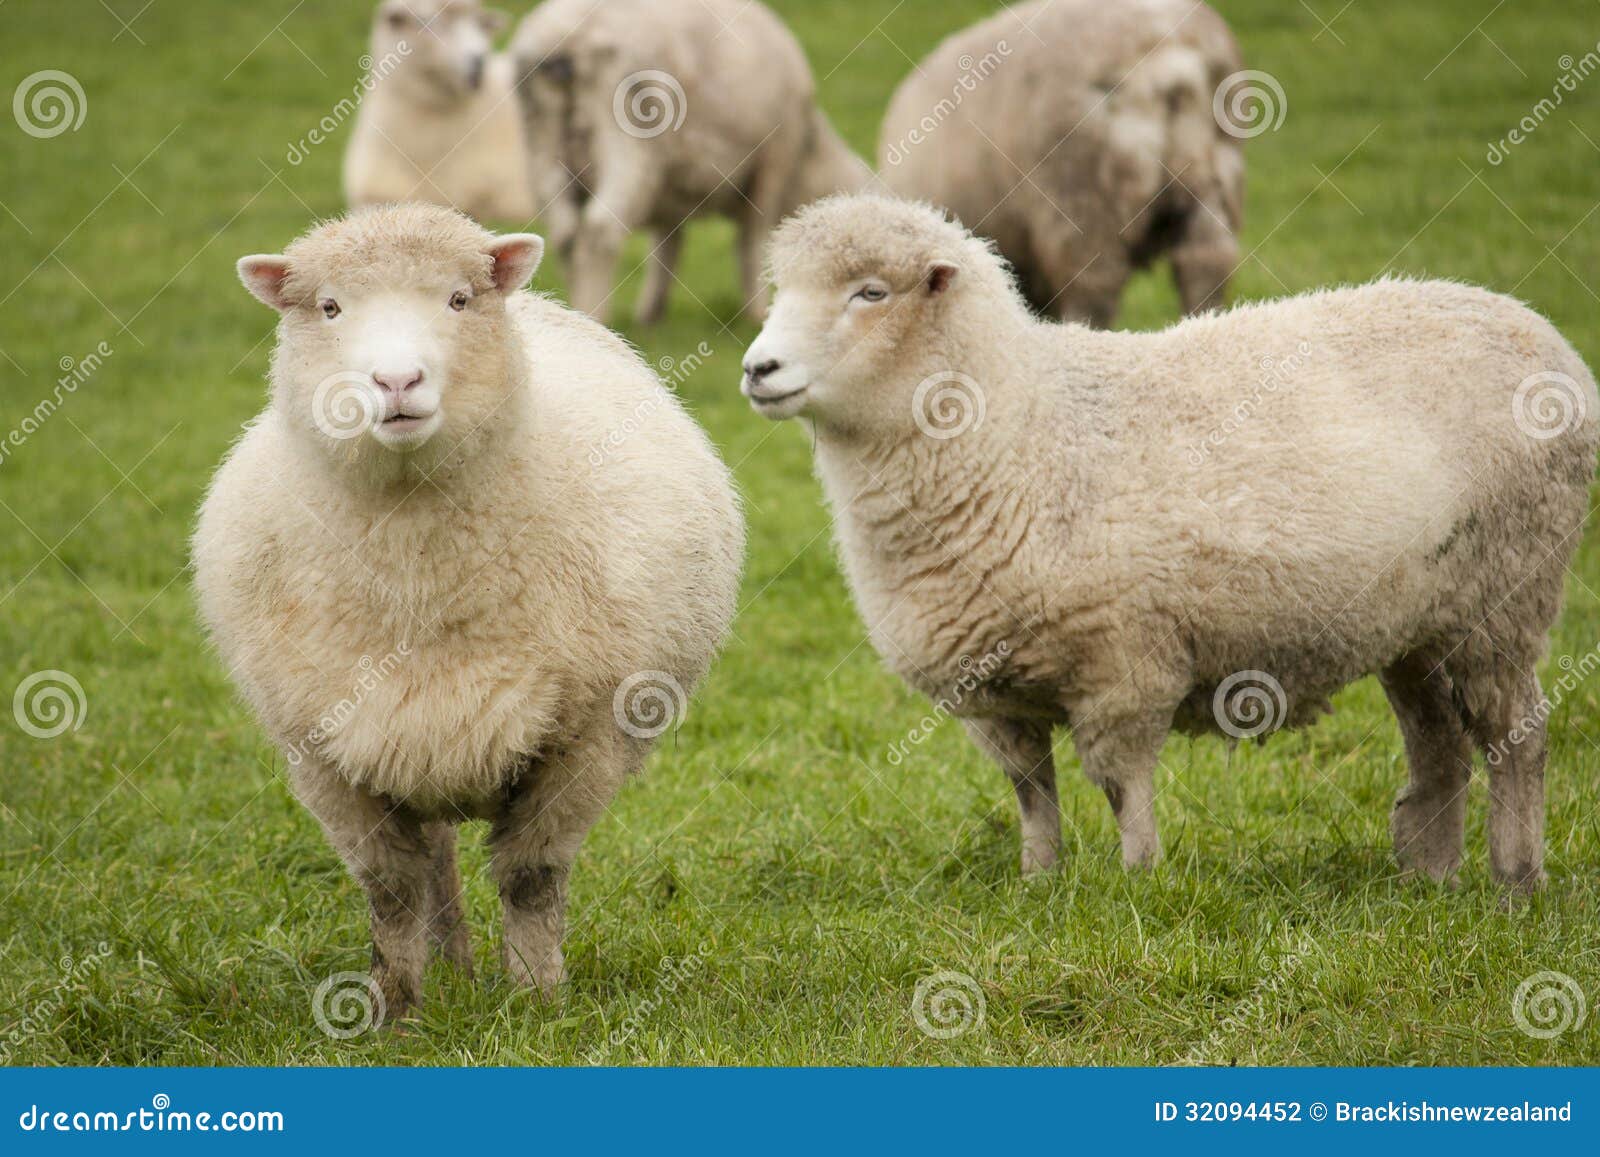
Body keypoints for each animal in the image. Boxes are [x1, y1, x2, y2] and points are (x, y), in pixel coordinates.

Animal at [195, 203, 744, 1017]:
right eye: (329, 308)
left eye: (458, 299)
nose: (396, 379)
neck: (417, 581)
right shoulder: (324, 754)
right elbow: (391, 891)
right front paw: (393, 1010)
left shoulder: (584, 739)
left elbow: (531, 879)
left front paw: (538, 1000)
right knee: (435, 862)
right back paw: (449, 971)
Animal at [509, 0, 873, 327]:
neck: (808, 157)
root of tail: (565, 39)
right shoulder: (773, 159)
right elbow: (752, 241)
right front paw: (756, 312)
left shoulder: (669, 186)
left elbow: (666, 247)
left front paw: (651, 313)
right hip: (628, 130)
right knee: (599, 230)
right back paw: (595, 316)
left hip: (541, 137)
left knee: (565, 234)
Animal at [740, 193, 1598, 892]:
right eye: (782, 292)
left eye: (870, 292)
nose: (757, 368)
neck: (1017, 431)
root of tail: (1538, 330)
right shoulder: (994, 692)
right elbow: (1032, 791)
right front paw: (1038, 880)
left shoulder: (1124, 662)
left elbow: (1123, 786)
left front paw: (1138, 879)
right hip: (1421, 619)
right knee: (1440, 740)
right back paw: (1429, 874)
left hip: (1507, 592)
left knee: (1517, 735)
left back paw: (1514, 880)